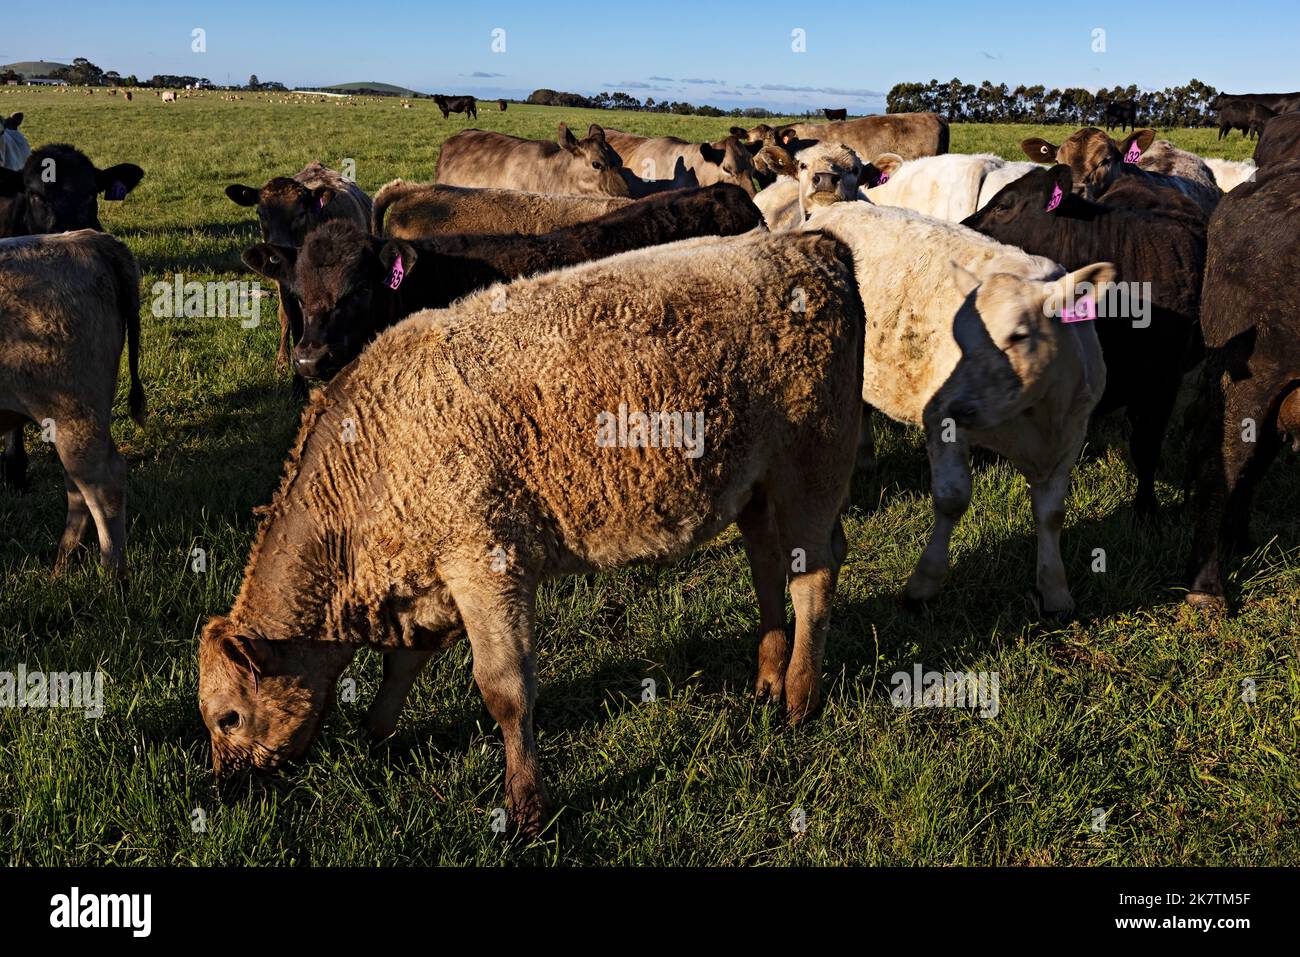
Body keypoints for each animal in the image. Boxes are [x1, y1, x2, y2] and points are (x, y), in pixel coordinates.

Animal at [0, 230, 145, 574]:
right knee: (78, 488)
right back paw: (62, 568)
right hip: (68, 422)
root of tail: (87, 238)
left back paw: (112, 574)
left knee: (103, 487)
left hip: (75, 413)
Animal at [197, 227, 865, 836]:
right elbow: (402, 664)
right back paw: (767, 679)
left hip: (814, 467)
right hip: (756, 490)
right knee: (767, 568)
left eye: (228, 717)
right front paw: (376, 735)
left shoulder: (486, 563)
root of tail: (813, 242)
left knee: (814, 572)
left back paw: (799, 697)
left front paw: (525, 808)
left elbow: (505, 689)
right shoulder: (432, 582)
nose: (224, 784)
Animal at [223, 162, 373, 394]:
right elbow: (295, 326)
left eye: (301, 213)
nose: (275, 253)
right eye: (260, 213)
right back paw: (282, 362)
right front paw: (298, 384)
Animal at [809, 200, 1114, 617]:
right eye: (959, 338)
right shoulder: (940, 418)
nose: (961, 405)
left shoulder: (1072, 432)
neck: (1038, 417)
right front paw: (924, 582)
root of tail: (836, 205)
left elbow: (1051, 514)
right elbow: (952, 499)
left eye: (1019, 335)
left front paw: (1055, 590)